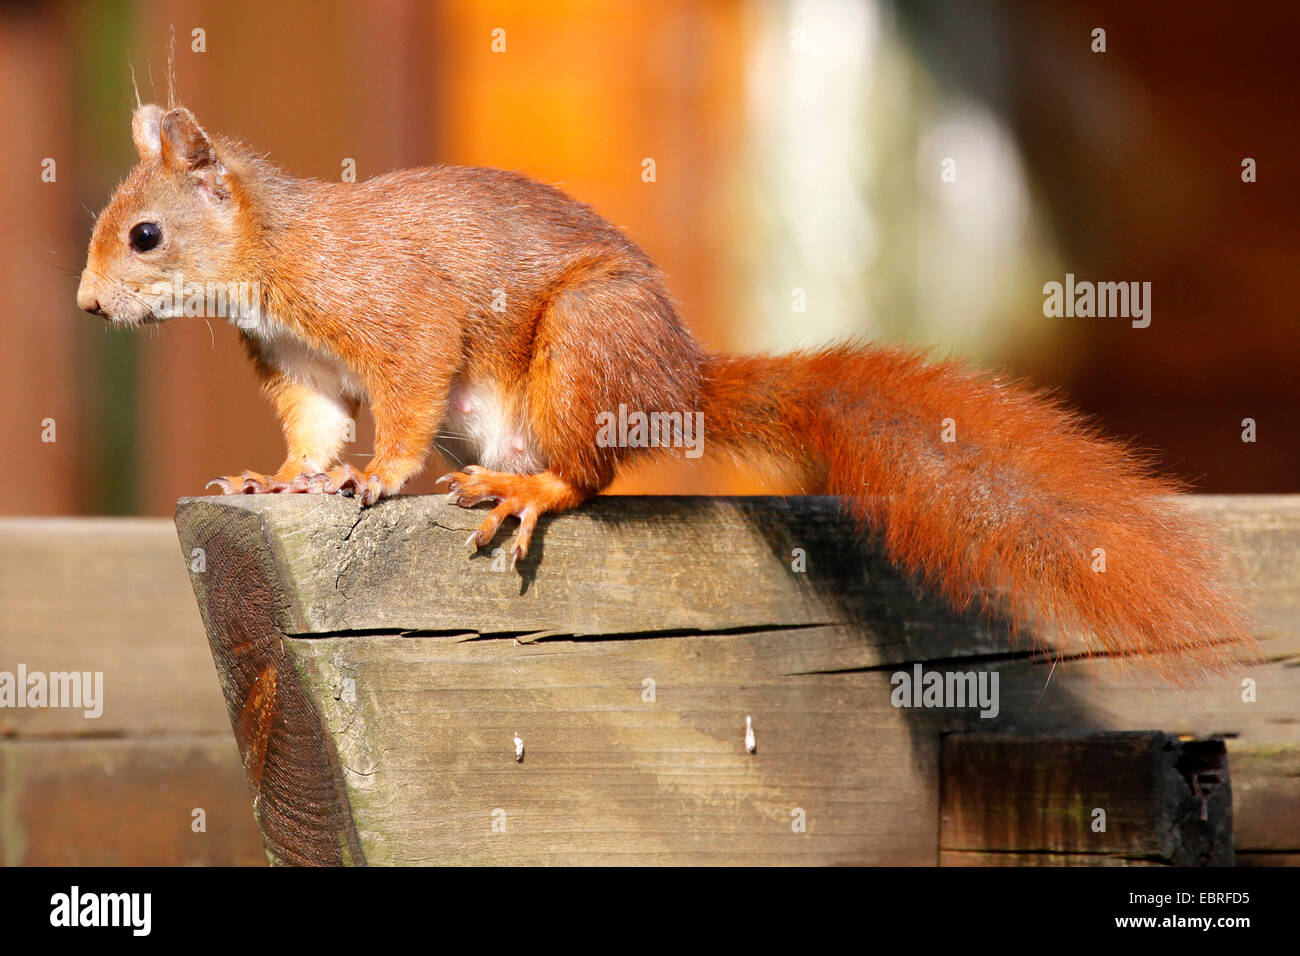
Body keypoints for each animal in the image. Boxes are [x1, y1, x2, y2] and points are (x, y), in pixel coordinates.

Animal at [77, 104, 1253, 677]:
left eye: (146, 236)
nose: (88, 307)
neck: (274, 252)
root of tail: (674, 374)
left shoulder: (390, 314)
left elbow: (405, 390)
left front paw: (376, 476)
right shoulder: (303, 367)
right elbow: (317, 430)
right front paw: (285, 480)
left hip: (582, 349)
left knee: (590, 474)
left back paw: (533, 490)